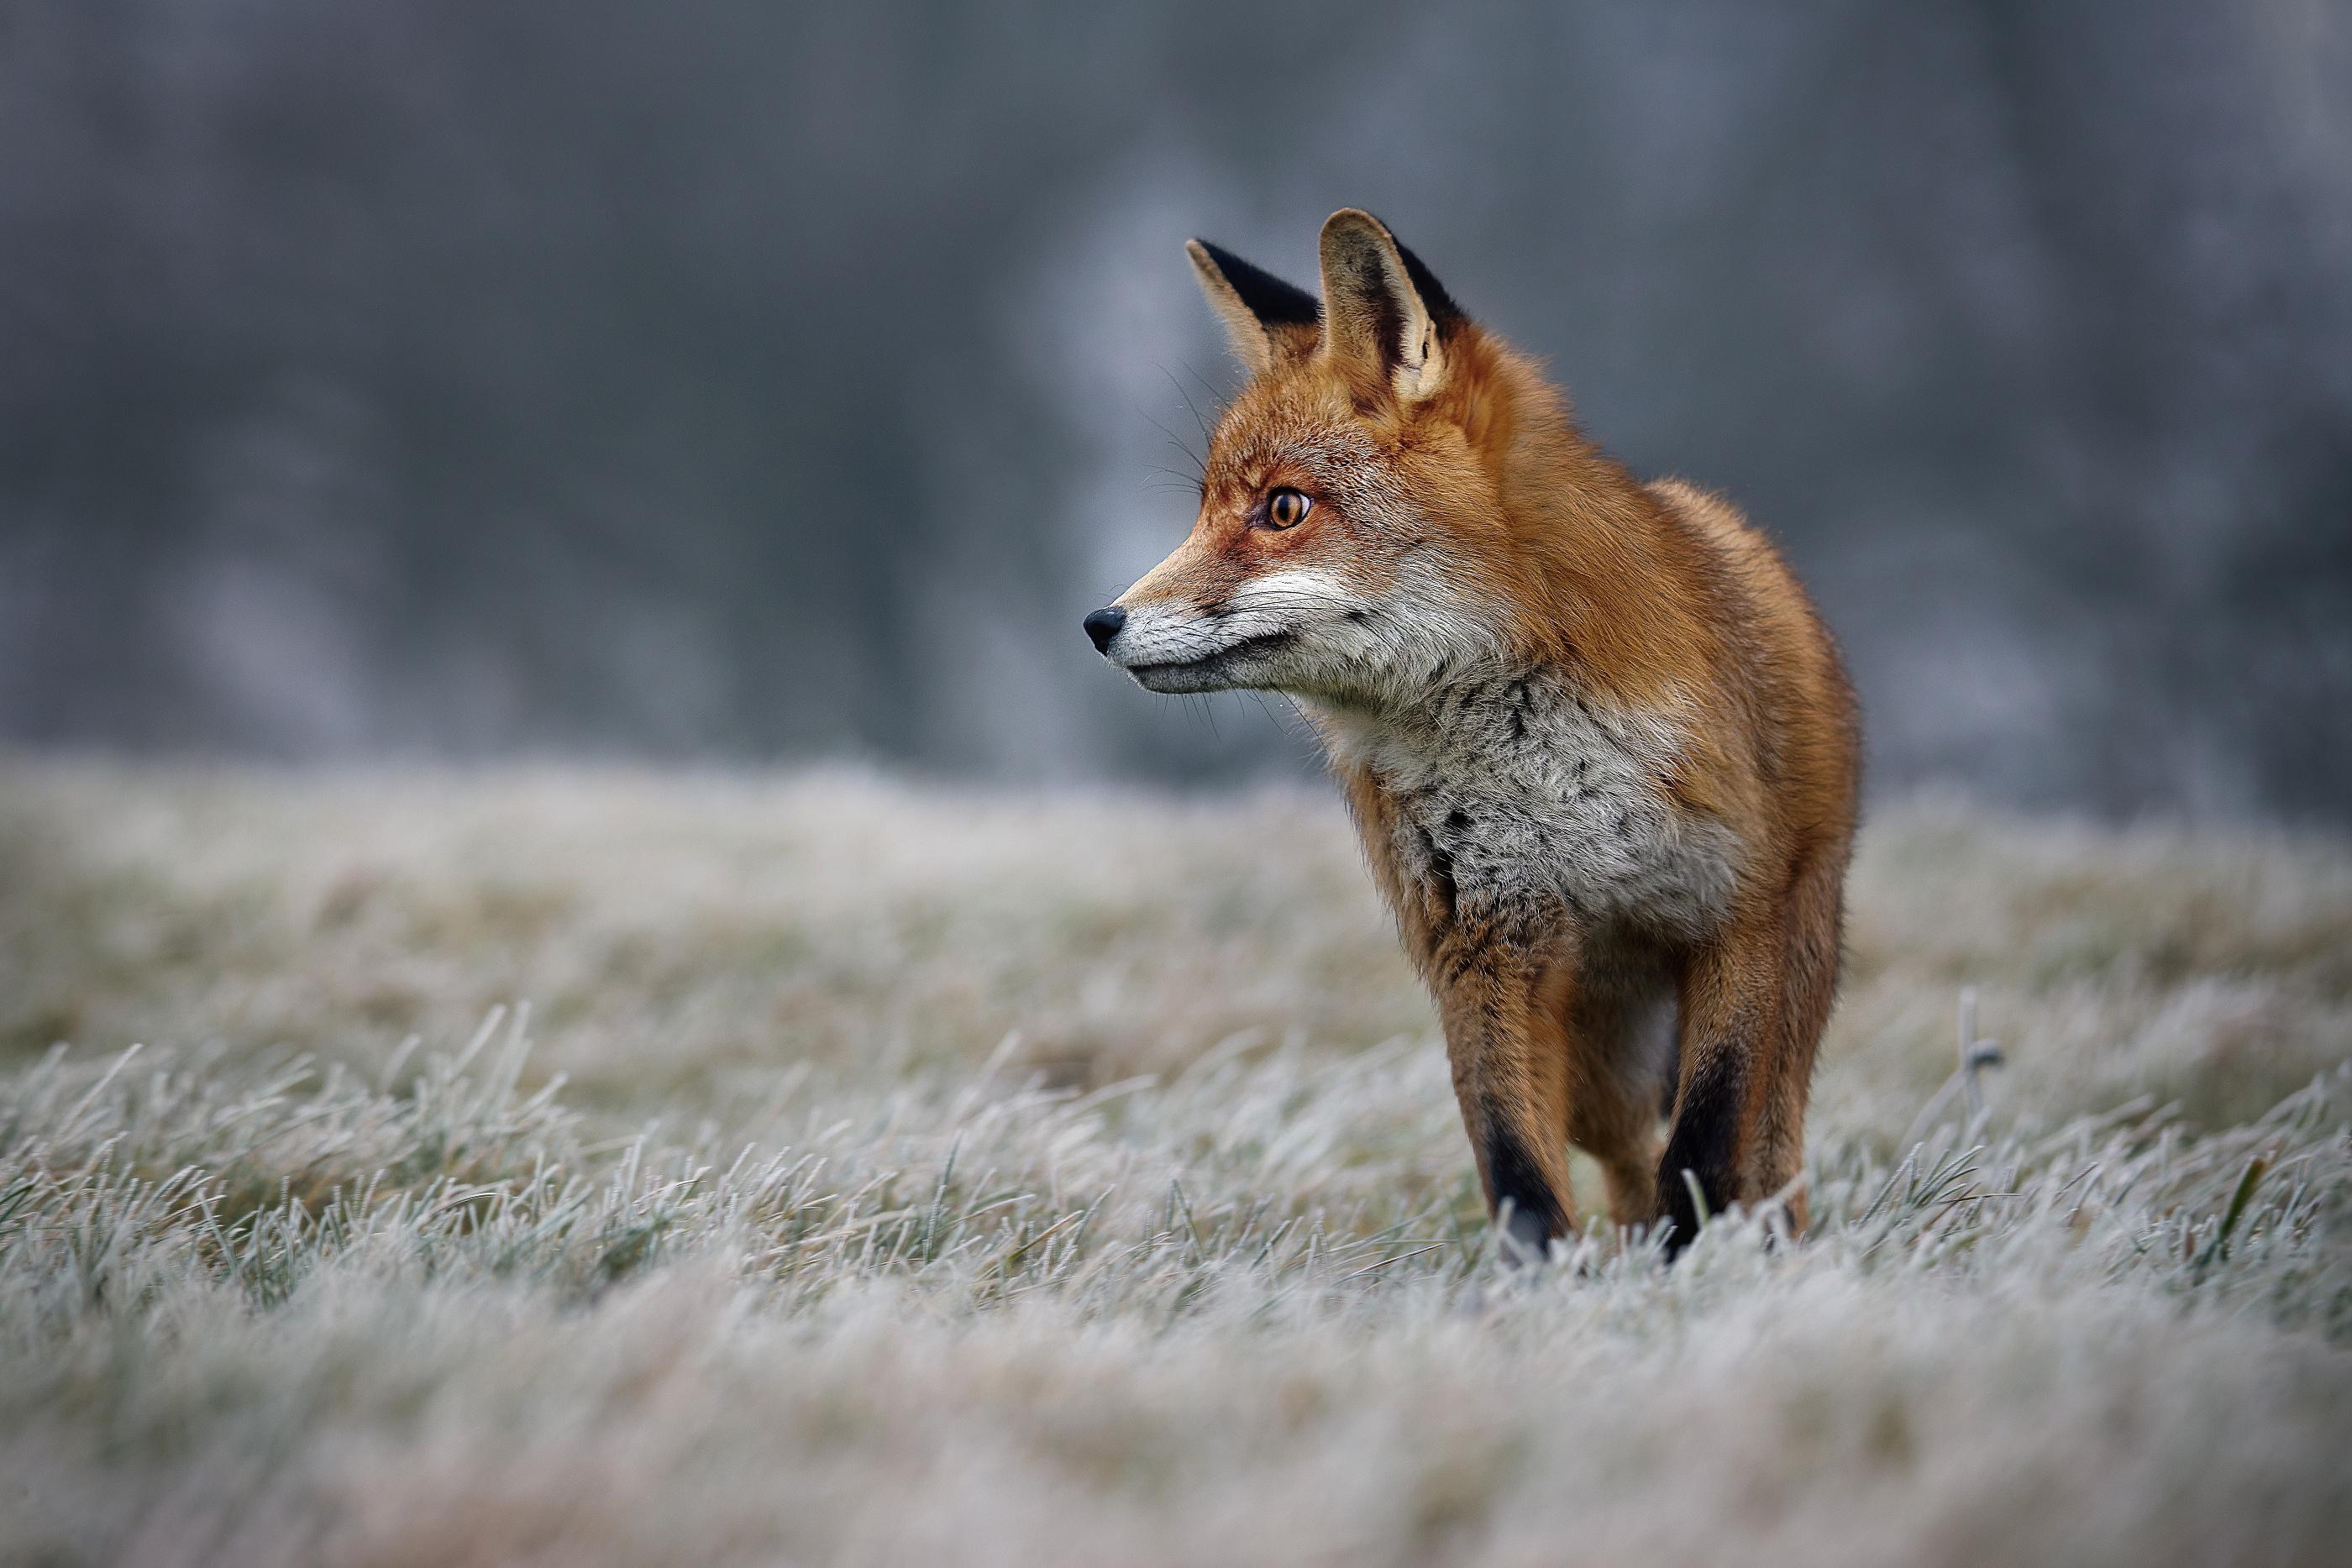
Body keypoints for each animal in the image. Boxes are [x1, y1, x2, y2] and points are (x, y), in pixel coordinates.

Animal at [1083, 210, 1860, 1259]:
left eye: (1282, 507)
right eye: (1203, 507)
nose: (1101, 623)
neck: (1549, 783)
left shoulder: (1730, 914)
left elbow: (1702, 1144)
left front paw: (1689, 1270)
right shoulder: (1483, 945)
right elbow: (1516, 1166)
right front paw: (1551, 1283)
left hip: (1793, 963)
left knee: (1769, 1148)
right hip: (1598, 1054)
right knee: (1621, 1151)